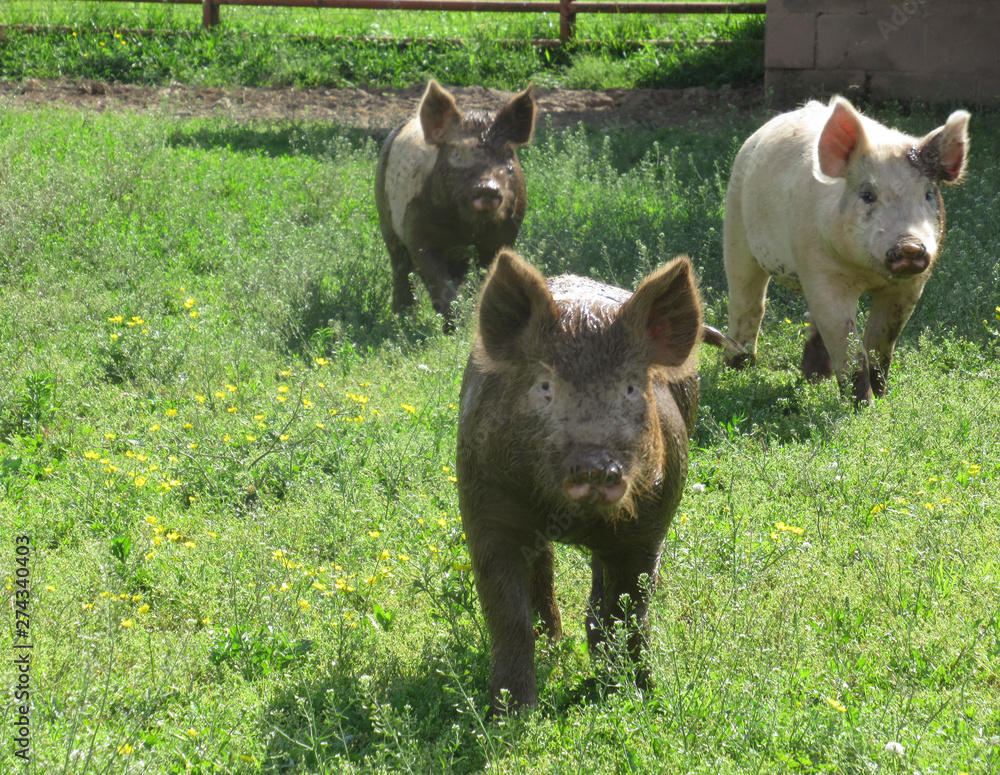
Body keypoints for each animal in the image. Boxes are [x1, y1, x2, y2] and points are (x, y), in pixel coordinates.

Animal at [374, 80, 536, 331]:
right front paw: (454, 330)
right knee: (399, 265)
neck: (468, 229)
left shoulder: (504, 235)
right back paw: (401, 317)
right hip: (384, 211)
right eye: (457, 154)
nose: (487, 187)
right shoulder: (418, 234)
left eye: (506, 154)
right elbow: (438, 283)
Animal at [457, 249, 722, 714]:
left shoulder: (650, 522)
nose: (596, 465)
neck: (572, 520)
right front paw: (512, 713)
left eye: (631, 387)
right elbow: (507, 613)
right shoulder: (485, 506)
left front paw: (637, 694)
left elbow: (630, 609)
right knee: (544, 569)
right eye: (545, 385)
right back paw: (553, 644)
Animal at [723, 95, 970, 404]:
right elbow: (849, 348)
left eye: (927, 194)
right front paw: (863, 407)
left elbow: (880, 344)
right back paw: (738, 368)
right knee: (748, 299)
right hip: (735, 222)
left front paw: (881, 399)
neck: (869, 274)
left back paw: (814, 377)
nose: (910, 246)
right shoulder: (821, 273)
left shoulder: (909, 287)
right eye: (867, 195)